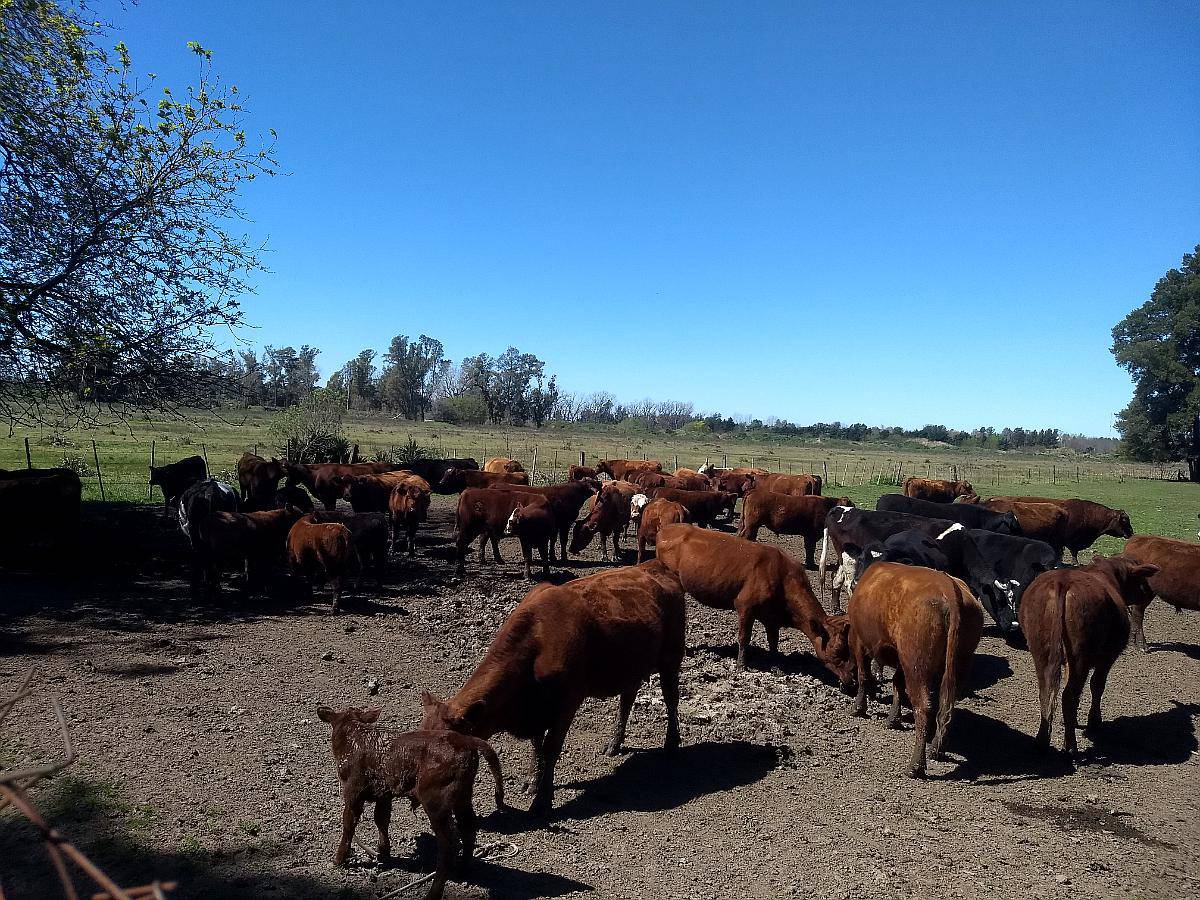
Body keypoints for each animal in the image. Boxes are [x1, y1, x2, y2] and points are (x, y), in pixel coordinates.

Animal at [317, 705, 504, 900]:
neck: (355, 737)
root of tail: (466, 741)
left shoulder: (353, 792)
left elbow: (348, 825)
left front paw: (338, 859)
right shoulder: (384, 793)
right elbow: (381, 819)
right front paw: (383, 852)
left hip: (436, 802)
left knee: (449, 844)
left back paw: (433, 893)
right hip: (463, 797)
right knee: (468, 829)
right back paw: (463, 870)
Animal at [420, 561, 686, 816]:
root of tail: (655, 565)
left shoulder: (567, 702)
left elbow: (550, 748)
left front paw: (542, 801)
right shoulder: (536, 707)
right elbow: (536, 745)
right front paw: (532, 782)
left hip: (671, 657)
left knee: (671, 698)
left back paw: (671, 744)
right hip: (629, 666)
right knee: (627, 699)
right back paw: (615, 742)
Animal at [654, 523, 853, 680]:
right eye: (837, 650)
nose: (850, 679)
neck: (782, 577)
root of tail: (667, 528)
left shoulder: (772, 618)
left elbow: (773, 642)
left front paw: (776, 666)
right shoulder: (745, 606)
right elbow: (744, 637)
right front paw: (741, 665)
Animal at [847, 563, 984, 777]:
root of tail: (948, 585)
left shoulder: (859, 641)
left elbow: (864, 676)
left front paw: (858, 708)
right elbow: (897, 683)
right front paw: (893, 719)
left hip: (916, 664)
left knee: (923, 707)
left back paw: (915, 766)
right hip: (959, 661)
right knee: (947, 705)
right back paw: (936, 748)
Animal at [1019, 556, 1158, 755]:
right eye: (1140, 578)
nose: (1148, 592)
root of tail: (1062, 580)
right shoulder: (1107, 658)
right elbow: (1097, 686)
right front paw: (1094, 721)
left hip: (1042, 652)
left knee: (1047, 692)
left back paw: (1042, 741)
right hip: (1080, 657)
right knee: (1069, 696)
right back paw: (1070, 746)